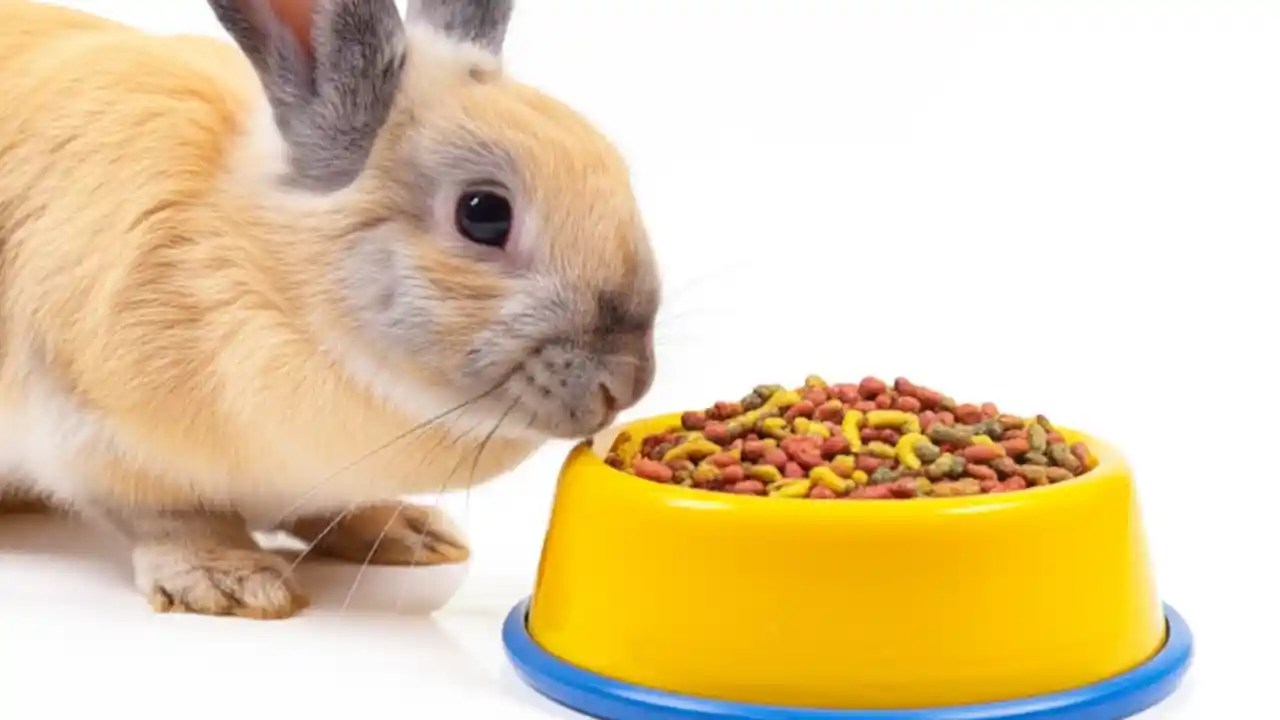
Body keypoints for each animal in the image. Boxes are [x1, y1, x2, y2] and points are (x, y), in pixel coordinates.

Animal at [0, 0, 659, 619]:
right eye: (483, 214)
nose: (627, 382)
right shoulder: (93, 430)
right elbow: (174, 516)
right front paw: (233, 582)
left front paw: (407, 533)